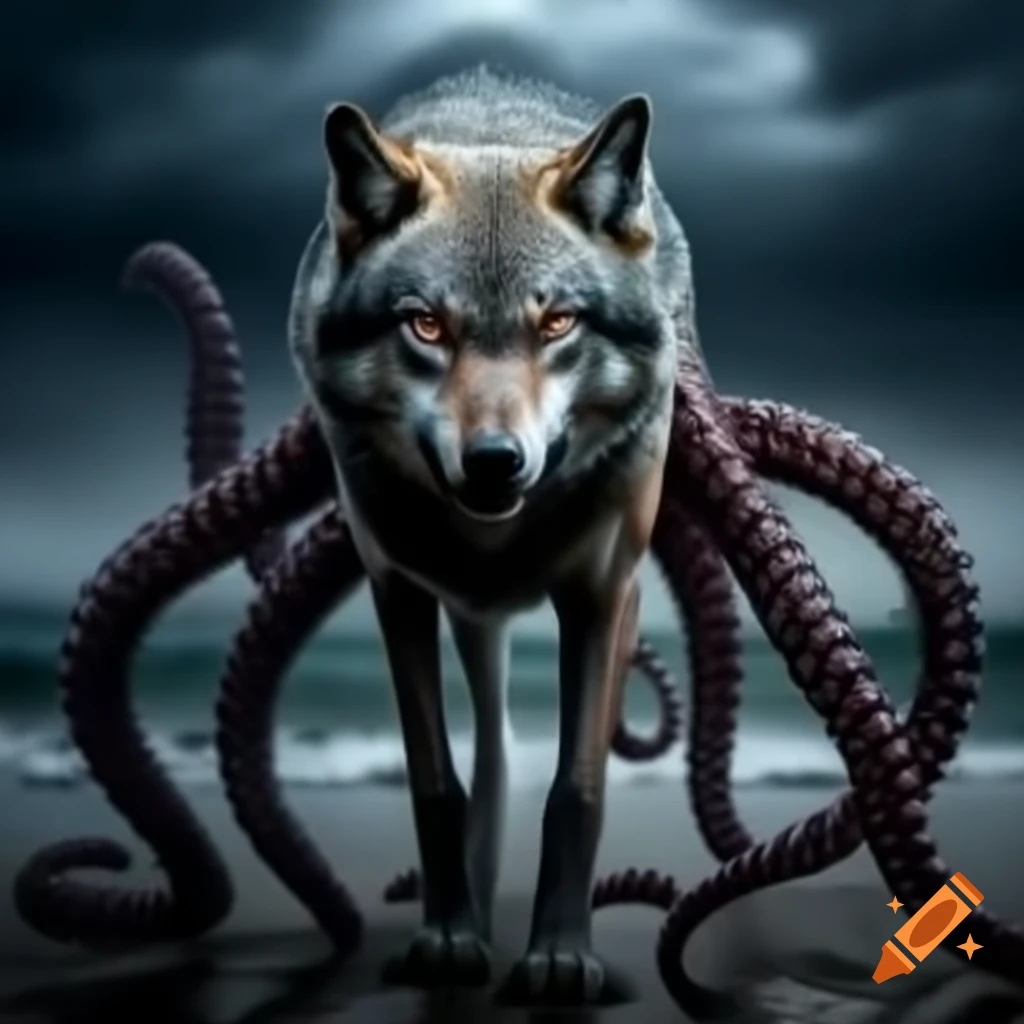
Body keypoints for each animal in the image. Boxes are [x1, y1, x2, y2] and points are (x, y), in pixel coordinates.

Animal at [288, 65, 692, 1004]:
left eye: (558, 324)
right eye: (426, 325)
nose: (497, 462)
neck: (493, 542)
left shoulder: (601, 596)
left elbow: (576, 789)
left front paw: (560, 957)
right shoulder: (397, 592)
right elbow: (436, 783)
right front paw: (448, 936)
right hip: (468, 617)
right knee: (492, 753)